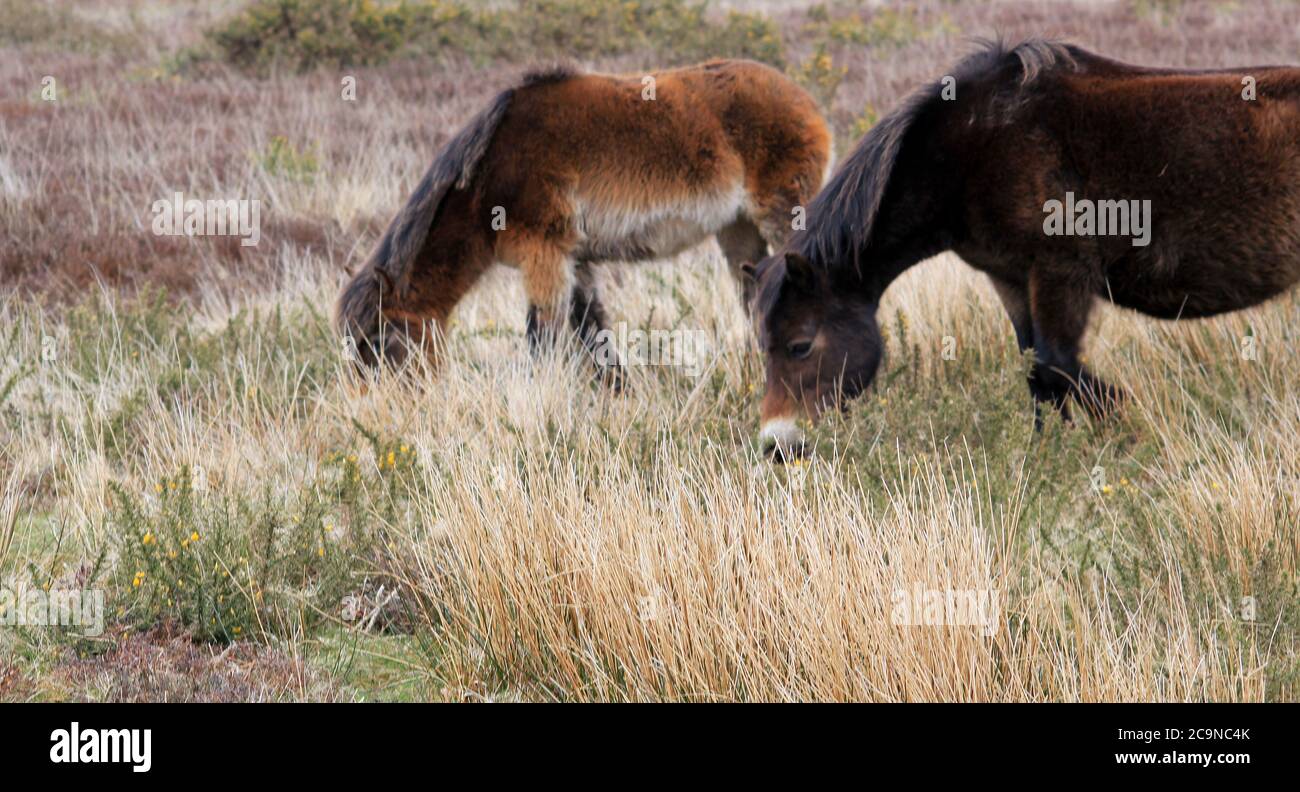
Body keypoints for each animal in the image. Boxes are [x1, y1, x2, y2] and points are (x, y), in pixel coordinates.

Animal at [336, 60, 831, 377]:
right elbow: (595, 334)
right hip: (738, 229)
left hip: (782, 216)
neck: (491, 175)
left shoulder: (546, 257)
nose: (381, 408)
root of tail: (807, 102)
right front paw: (618, 397)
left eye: (378, 342)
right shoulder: (576, 259)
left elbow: (543, 338)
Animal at [749, 39, 1300, 458]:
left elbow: (1056, 362)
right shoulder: (1011, 277)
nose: (778, 445)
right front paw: (1049, 455)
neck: (974, 148)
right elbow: (1036, 367)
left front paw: (1125, 424)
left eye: (800, 345)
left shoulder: (1060, 272)